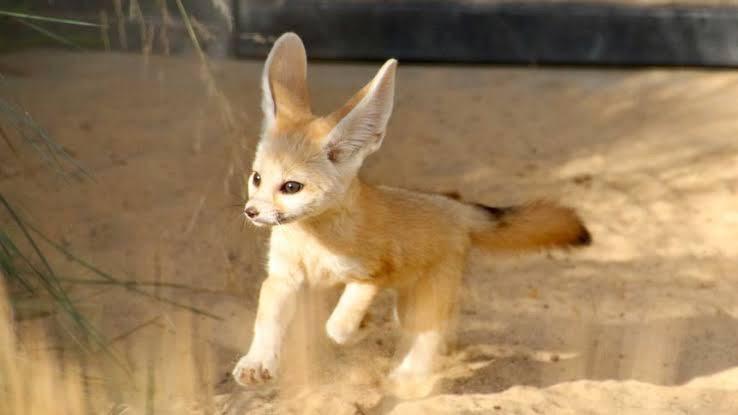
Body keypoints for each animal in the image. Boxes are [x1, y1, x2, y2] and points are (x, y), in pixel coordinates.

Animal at [232, 32, 590, 388]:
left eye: (291, 187)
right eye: (257, 178)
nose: (251, 212)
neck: (314, 243)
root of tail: (455, 207)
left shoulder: (372, 275)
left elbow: (342, 320)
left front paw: (353, 328)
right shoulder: (283, 278)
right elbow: (267, 323)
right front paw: (257, 361)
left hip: (421, 302)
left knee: (429, 336)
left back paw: (408, 377)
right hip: (407, 304)